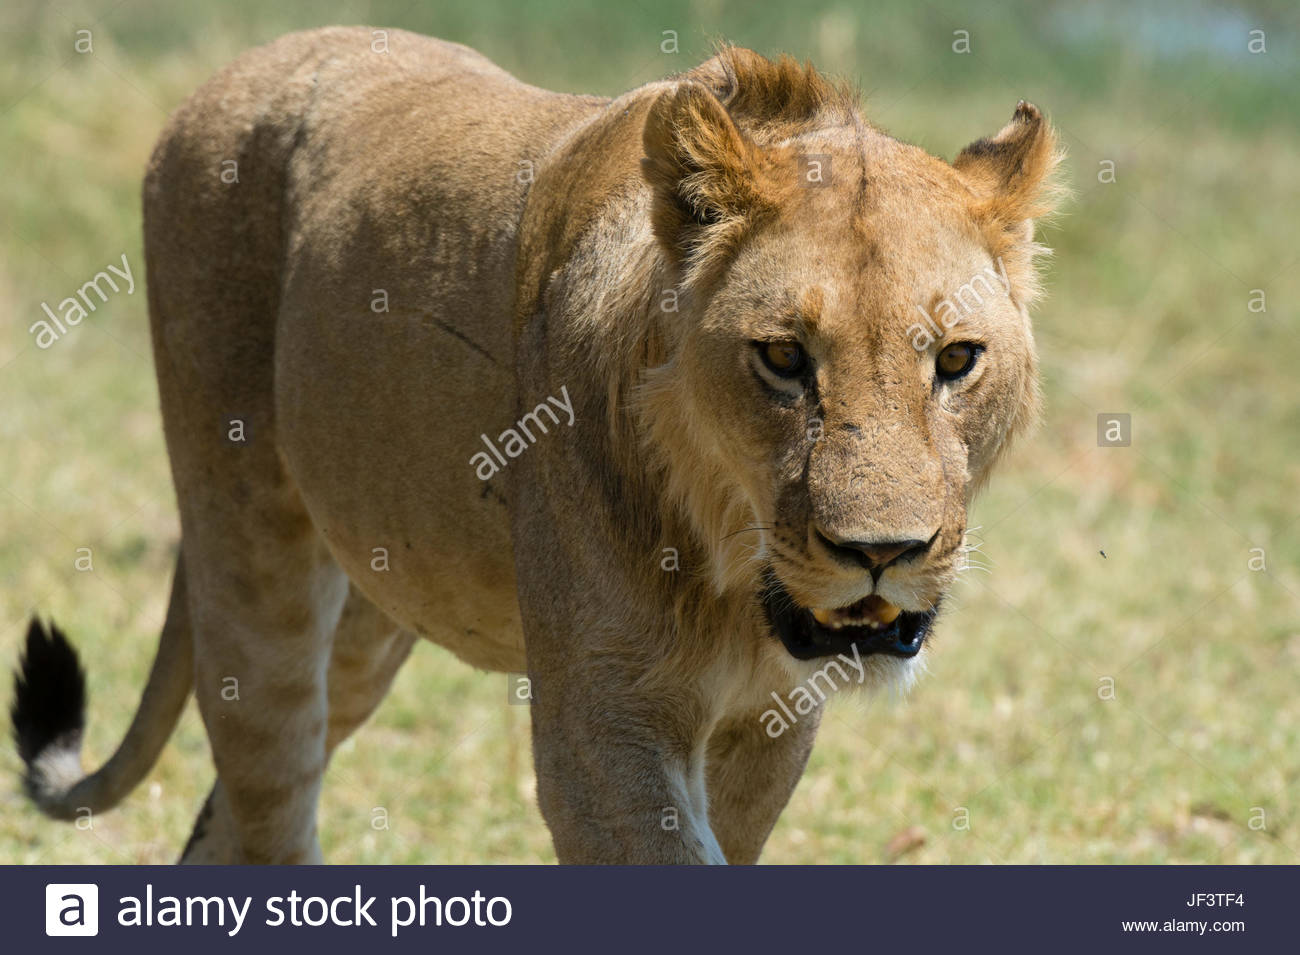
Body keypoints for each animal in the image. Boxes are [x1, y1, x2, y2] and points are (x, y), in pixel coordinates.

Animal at [10, 26, 1061, 864]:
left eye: (957, 359)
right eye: (781, 357)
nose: (882, 554)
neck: (732, 575)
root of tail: (250, 62)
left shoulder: (771, 720)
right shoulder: (601, 719)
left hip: (373, 607)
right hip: (252, 557)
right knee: (269, 799)